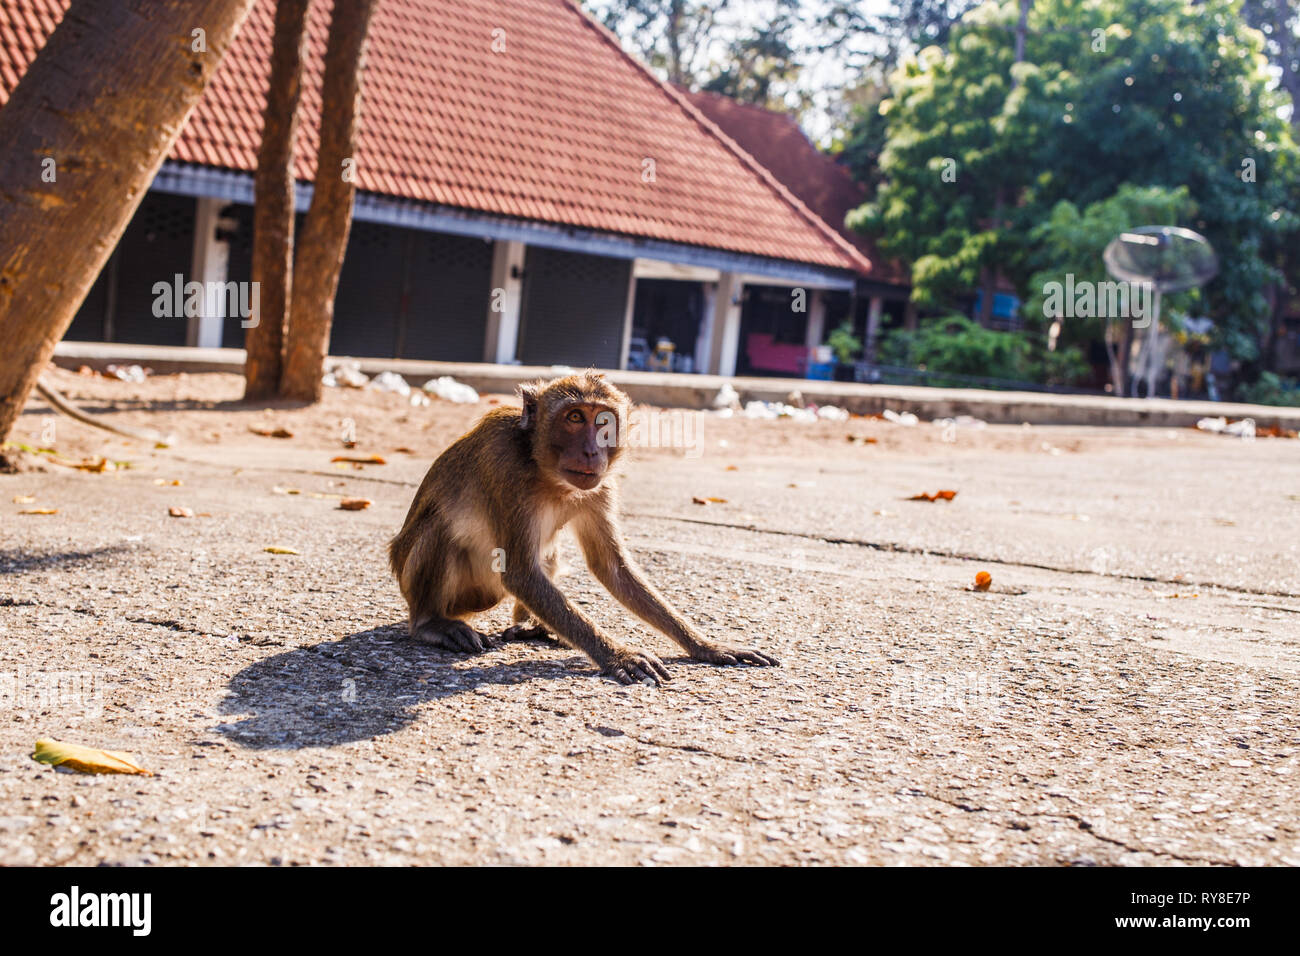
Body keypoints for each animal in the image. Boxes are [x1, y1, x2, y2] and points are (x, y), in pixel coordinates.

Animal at [389, 371, 779, 685]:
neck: (543, 469)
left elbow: (611, 566)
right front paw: (619, 655)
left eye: (603, 421)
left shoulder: (601, 486)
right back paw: (431, 624)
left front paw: (706, 645)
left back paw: (530, 624)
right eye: (575, 417)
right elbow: (520, 572)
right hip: (457, 595)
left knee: (548, 553)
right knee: (440, 531)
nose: (593, 451)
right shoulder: (505, 467)